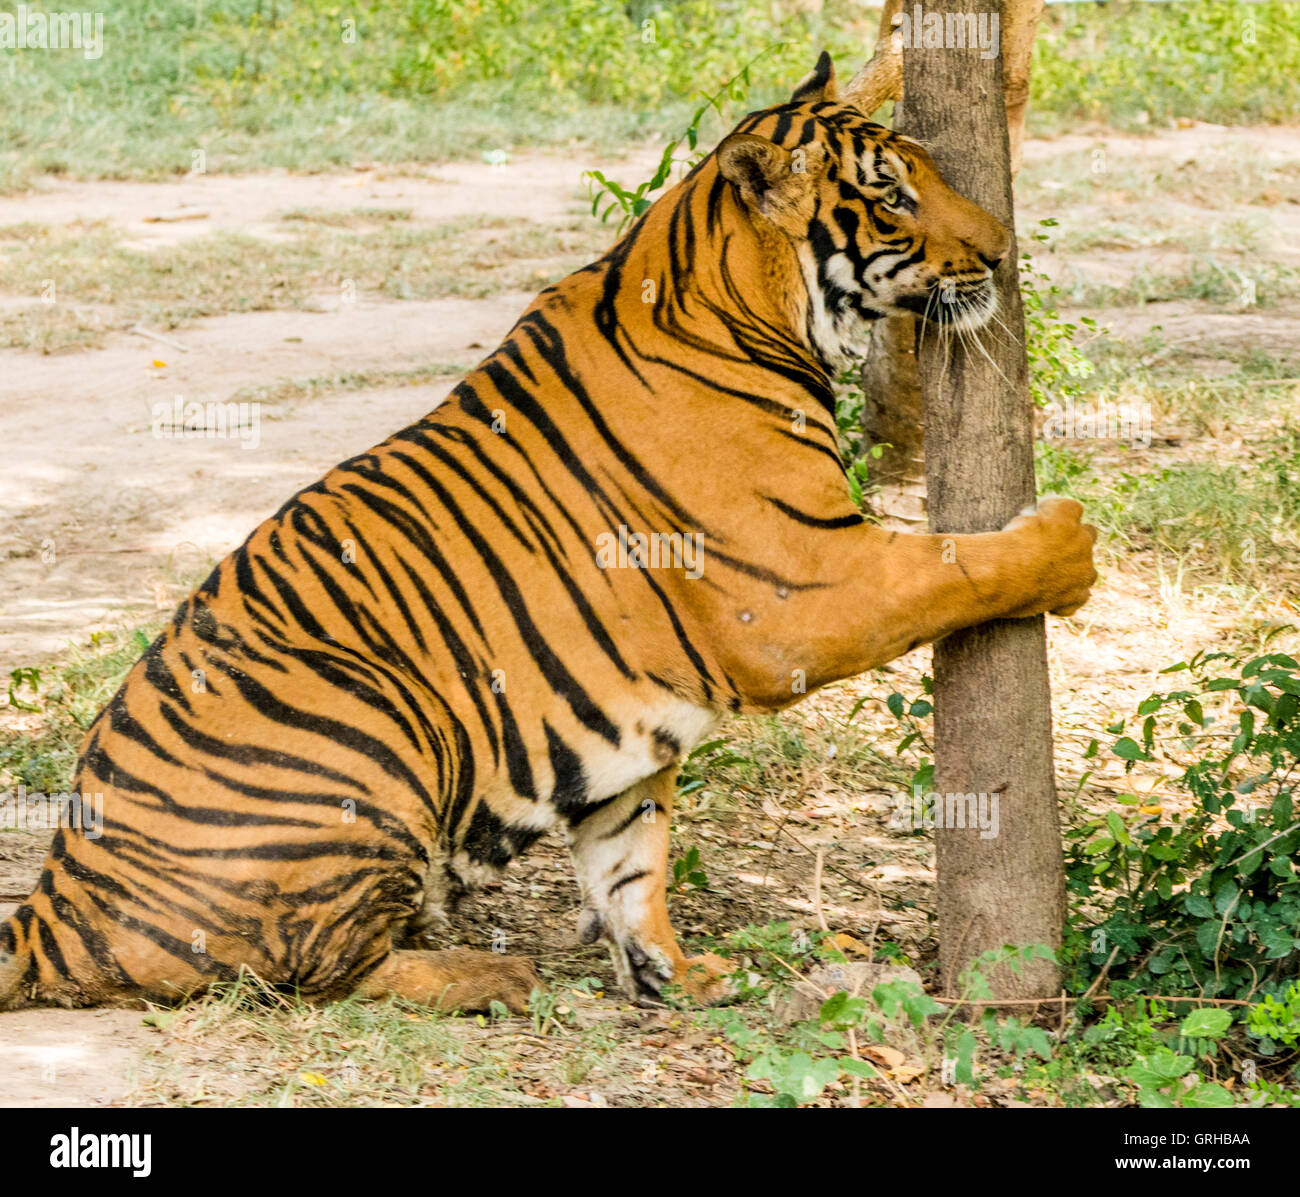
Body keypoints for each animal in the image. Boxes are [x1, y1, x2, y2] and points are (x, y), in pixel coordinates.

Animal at [0, 52, 1096, 1014]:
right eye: (893, 196)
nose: (1000, 253)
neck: (752, 302)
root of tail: (52, 905)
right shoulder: (801, 586)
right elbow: (955, 568)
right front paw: (1065, 548)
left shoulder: (630, 738)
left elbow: (630, 864)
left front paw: (676, 975)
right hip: (386, 719)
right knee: (309, 971)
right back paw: (487, 974)